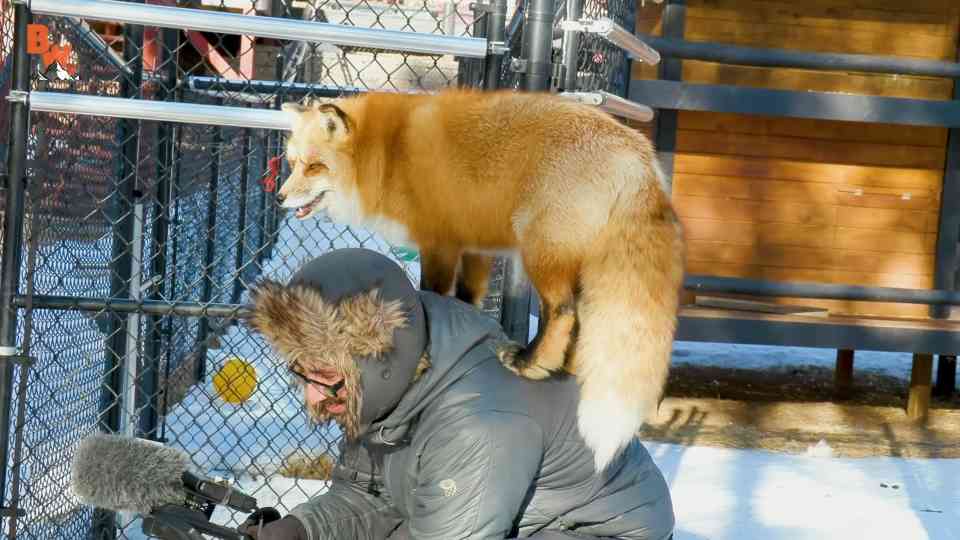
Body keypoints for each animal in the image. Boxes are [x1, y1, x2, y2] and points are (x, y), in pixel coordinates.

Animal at [276, 88, 686, 471]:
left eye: (315, 167)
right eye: (293, 164)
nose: (279, 198)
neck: (387, 153)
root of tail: (639, 154)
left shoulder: (438, 242)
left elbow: (433, 296)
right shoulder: (474, 246)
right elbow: (466, 297)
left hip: (538, 248)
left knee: (563, 312)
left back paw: (531, 363)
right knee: (581, 323)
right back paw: (564, 371)